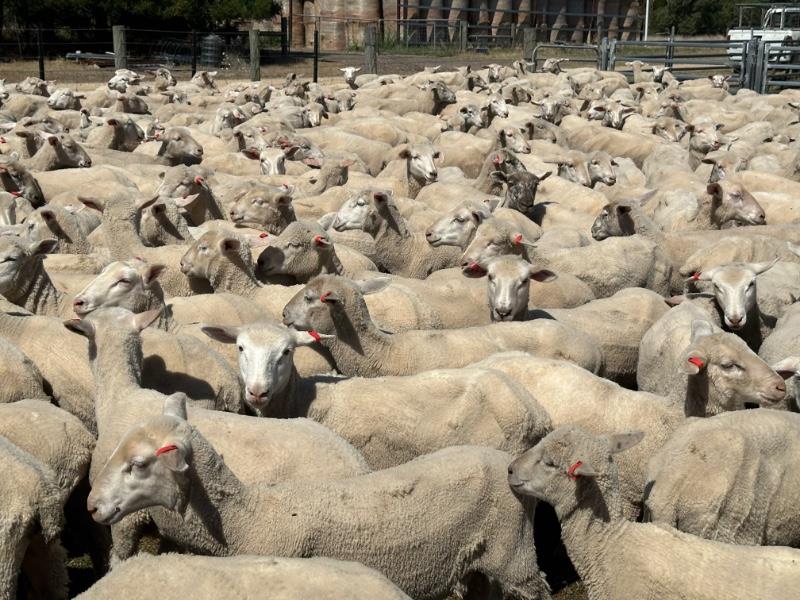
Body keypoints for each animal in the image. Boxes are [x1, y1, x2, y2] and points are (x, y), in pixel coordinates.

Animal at [86, 394, 550, 600]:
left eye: (139, 464)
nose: (91, 506)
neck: (246, 517)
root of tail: (507, 463)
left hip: (516, 556)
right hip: (482, 561)